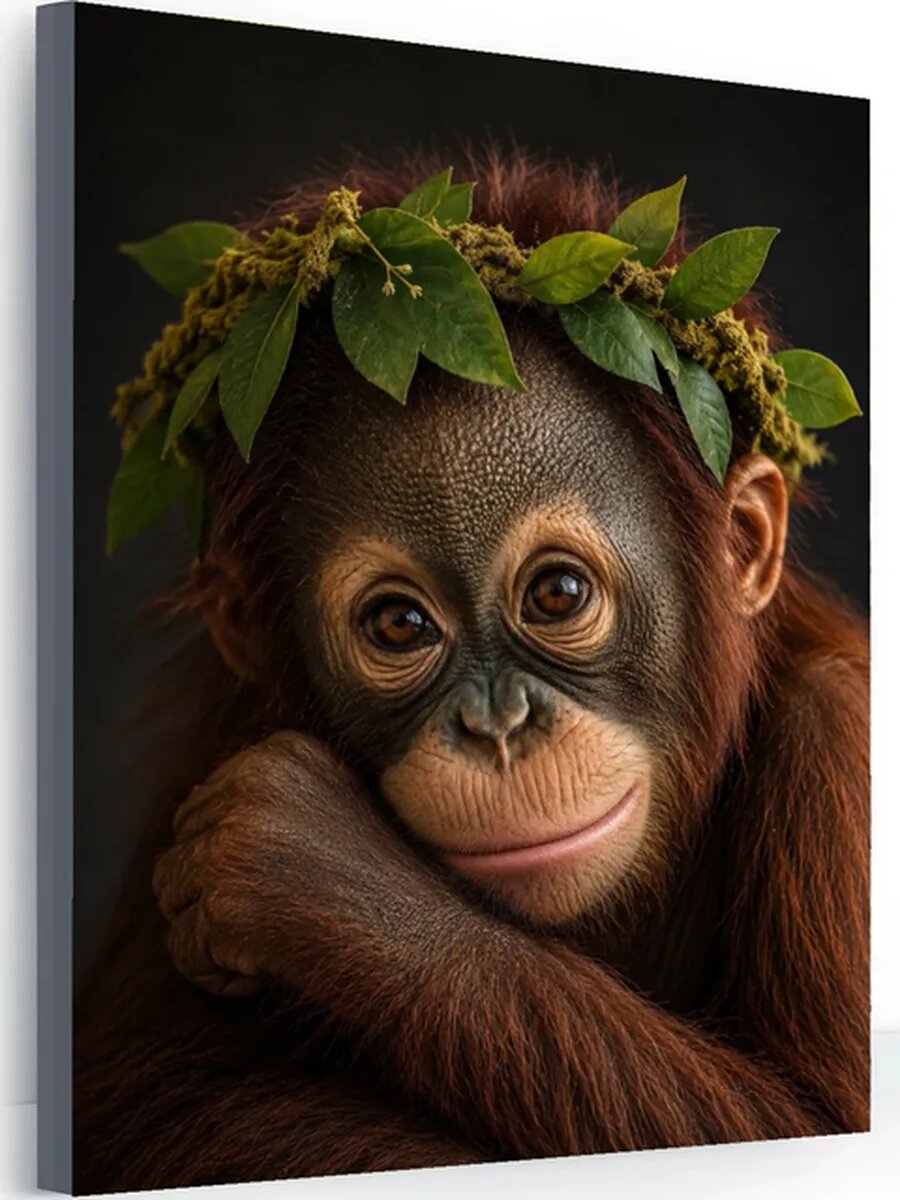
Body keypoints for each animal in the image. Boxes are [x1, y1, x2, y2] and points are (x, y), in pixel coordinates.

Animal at [73, 152, 869, 1192]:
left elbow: (811, 1118)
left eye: (558, 595)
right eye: (400, 624)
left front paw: (324, 876)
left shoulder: (840, 741)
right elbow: (160, 1104)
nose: (498, 728)